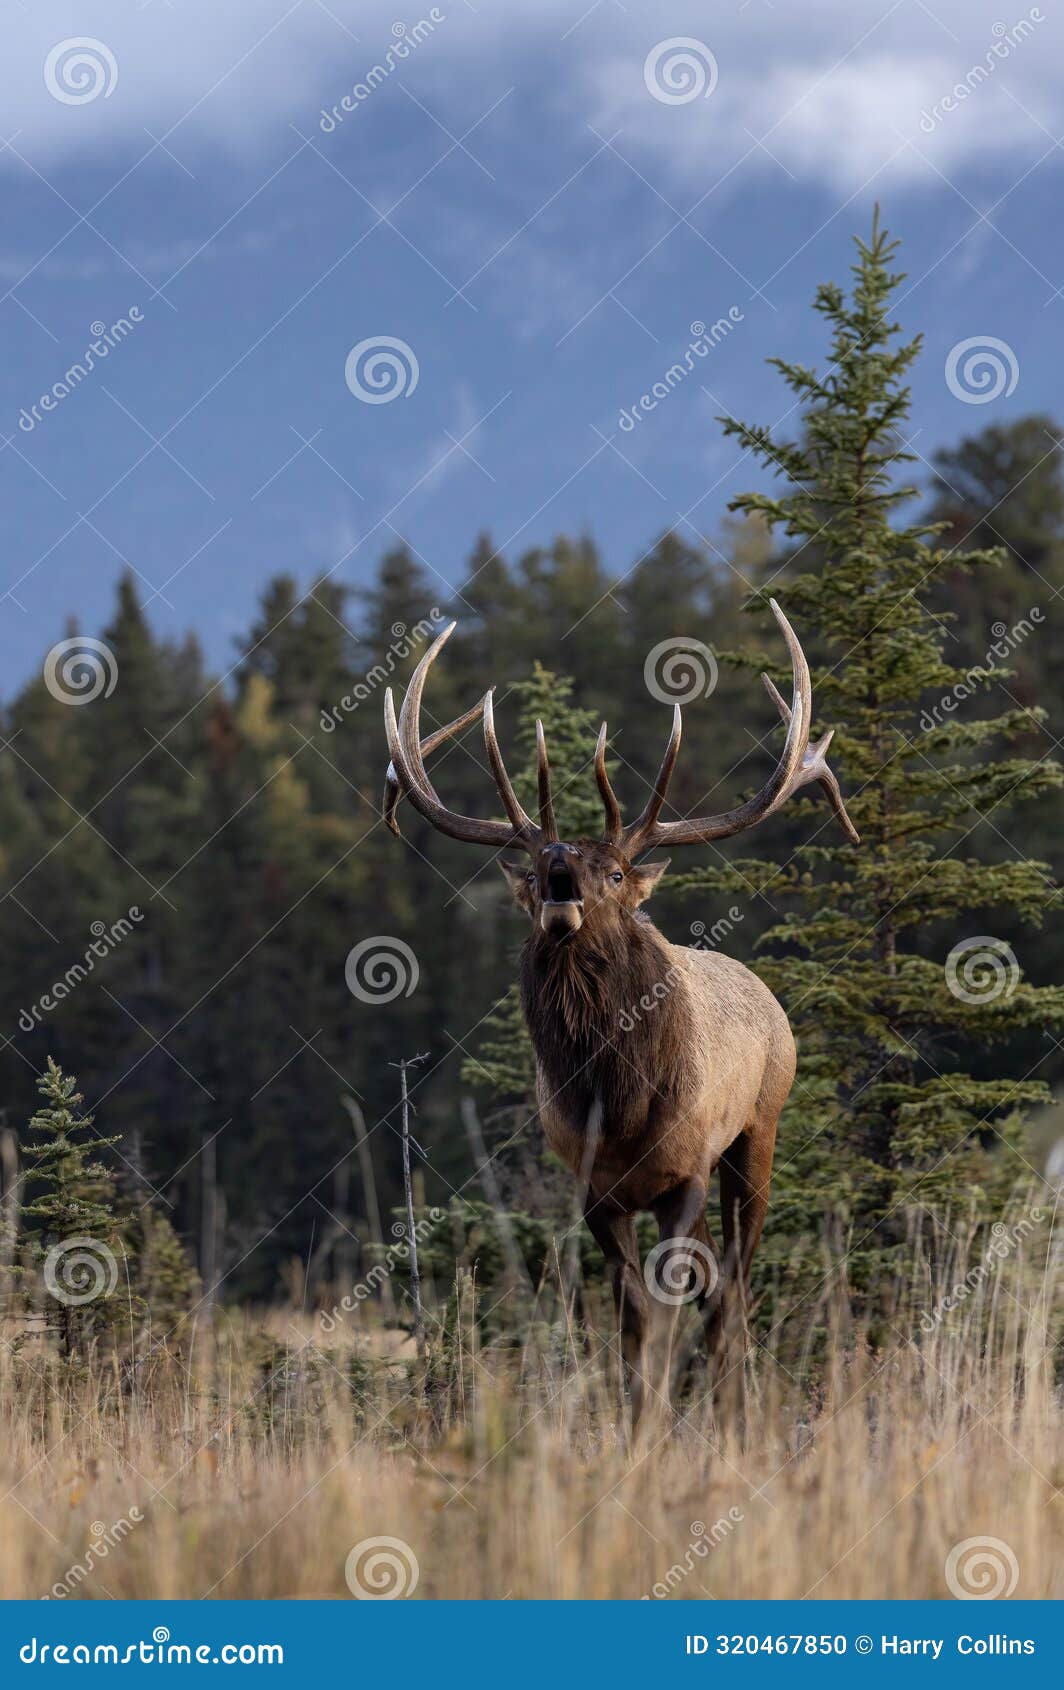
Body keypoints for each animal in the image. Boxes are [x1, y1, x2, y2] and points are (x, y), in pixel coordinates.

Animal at [382, 605, 859, 1432]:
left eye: (612, 873)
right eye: (539, 867)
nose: (560, 867)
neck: (621, 1100)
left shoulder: (687, 1167)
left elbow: (672, 1304)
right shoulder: (596, 1190)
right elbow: (633, 1317)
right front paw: (639, 1423)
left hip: (757, 1134)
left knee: (735, 1283)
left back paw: (736, 1408)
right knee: (715, 1284)